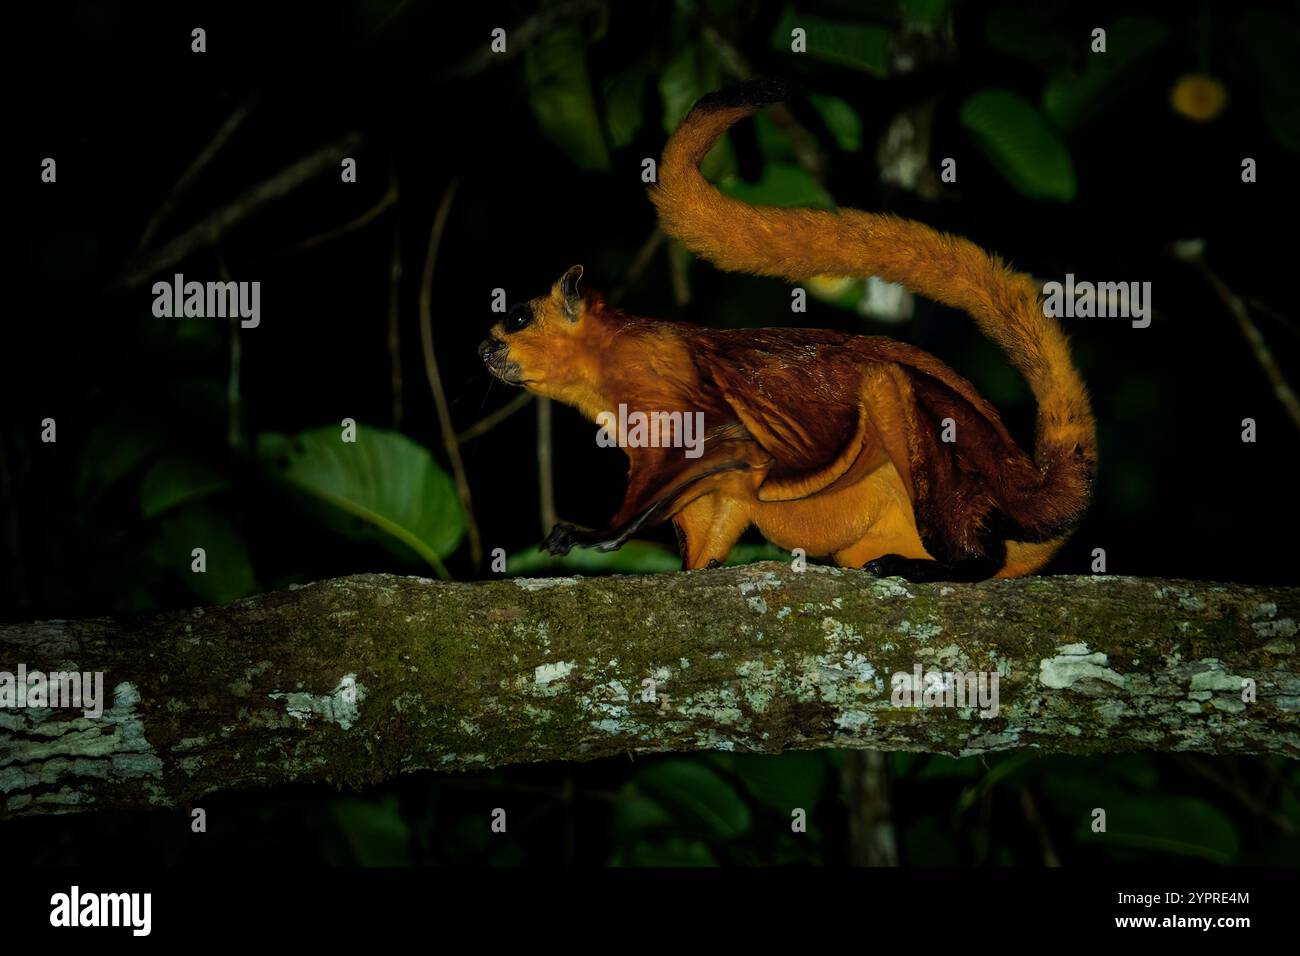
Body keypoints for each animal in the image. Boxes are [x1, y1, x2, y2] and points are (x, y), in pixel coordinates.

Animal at [479, 79, 1096, 581]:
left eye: (517, 317)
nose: (484, 348)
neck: (600, 366)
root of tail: (1017, 483)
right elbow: (723, 500)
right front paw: (693, 566)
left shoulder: (652, 369)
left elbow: (717, 438)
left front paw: (600, 532)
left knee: (889, 386)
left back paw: (957, 565)